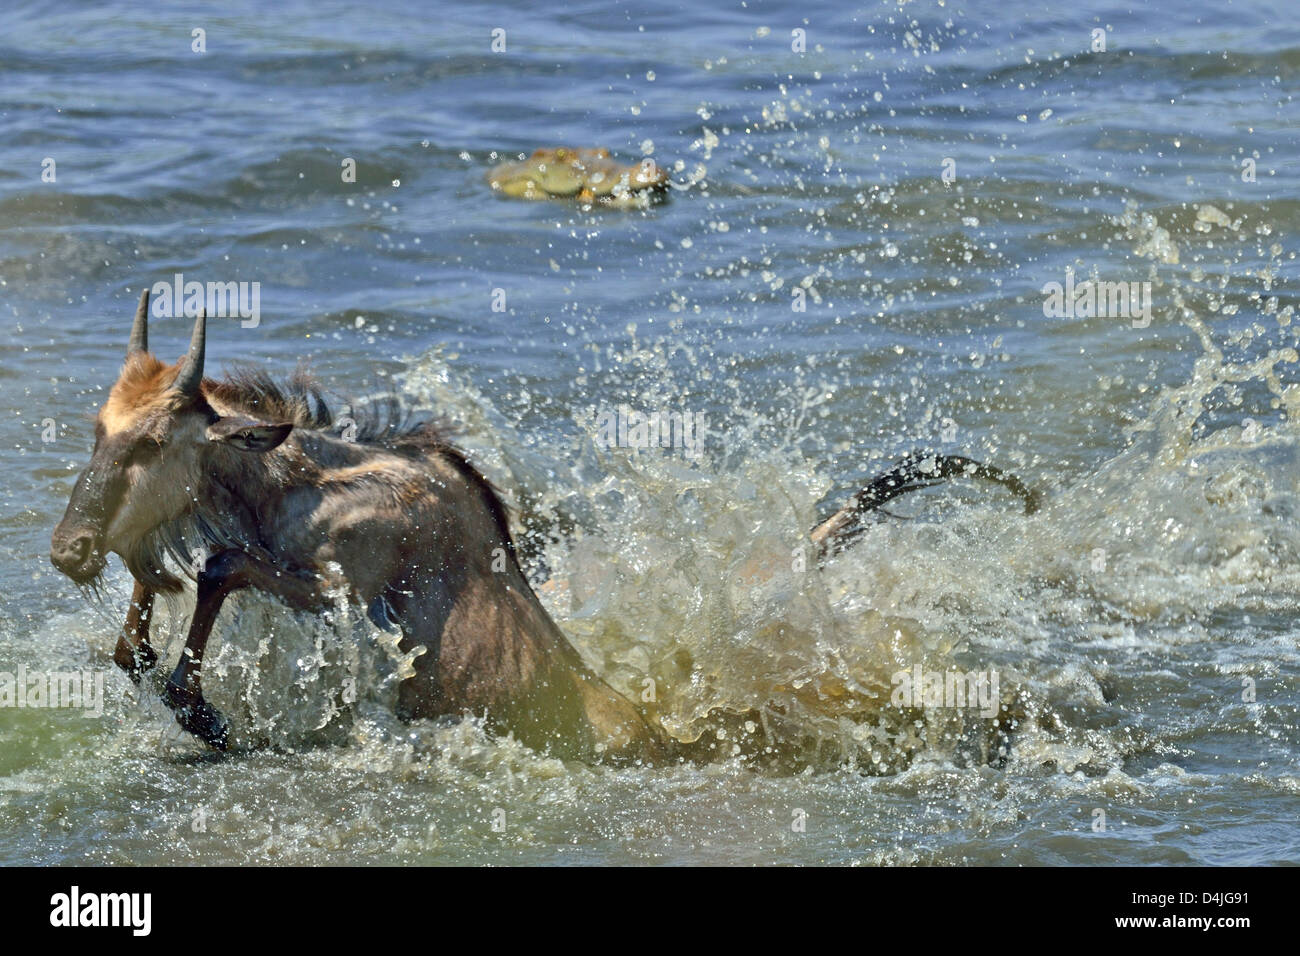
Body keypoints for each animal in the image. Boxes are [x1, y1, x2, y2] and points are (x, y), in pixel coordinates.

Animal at [49, 290, 1037, 763]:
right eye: (99, 429)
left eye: (155, 440)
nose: (67, 550)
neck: (310, 477)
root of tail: (659, 733)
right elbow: (161, 603)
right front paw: (162, 671)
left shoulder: (346, 590)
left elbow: (217, 564)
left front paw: (202, 710)